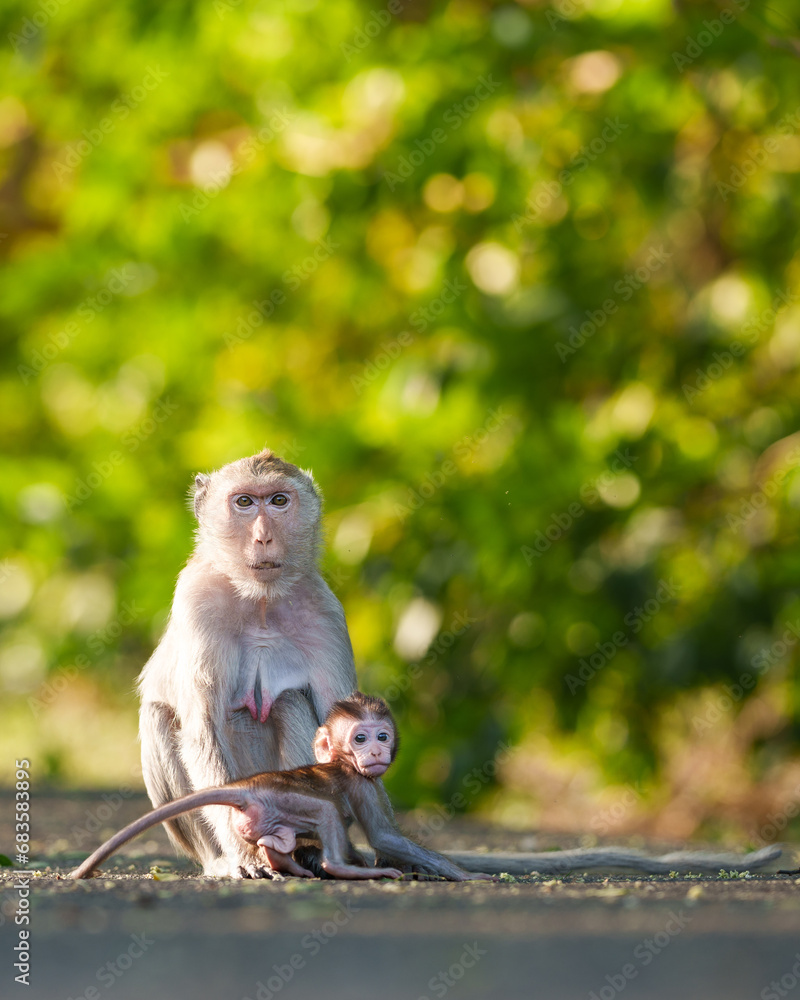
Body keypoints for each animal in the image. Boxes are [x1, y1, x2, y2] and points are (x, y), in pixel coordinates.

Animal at [72, 694, 491, 882]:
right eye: (360, 738)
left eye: (383, 736)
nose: (375, 750)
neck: (343, 762)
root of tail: (247, 786)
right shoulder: (363, 784)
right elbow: (384, 836)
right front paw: (468, 875)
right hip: (281, 802)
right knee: (324, 811)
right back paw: (338, 868)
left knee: (281, 841)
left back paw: (285, 862)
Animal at [136, 448, 782, 879]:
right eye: (243, 503)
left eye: (278, 502)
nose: (264, 536)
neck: (262, 599)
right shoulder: (196, 601)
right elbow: (203, 725)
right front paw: (242, 853)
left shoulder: (324, 609)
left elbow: (338, 719)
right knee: (167, 719)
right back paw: (234, 858)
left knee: (291, 704)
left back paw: (313, 851)